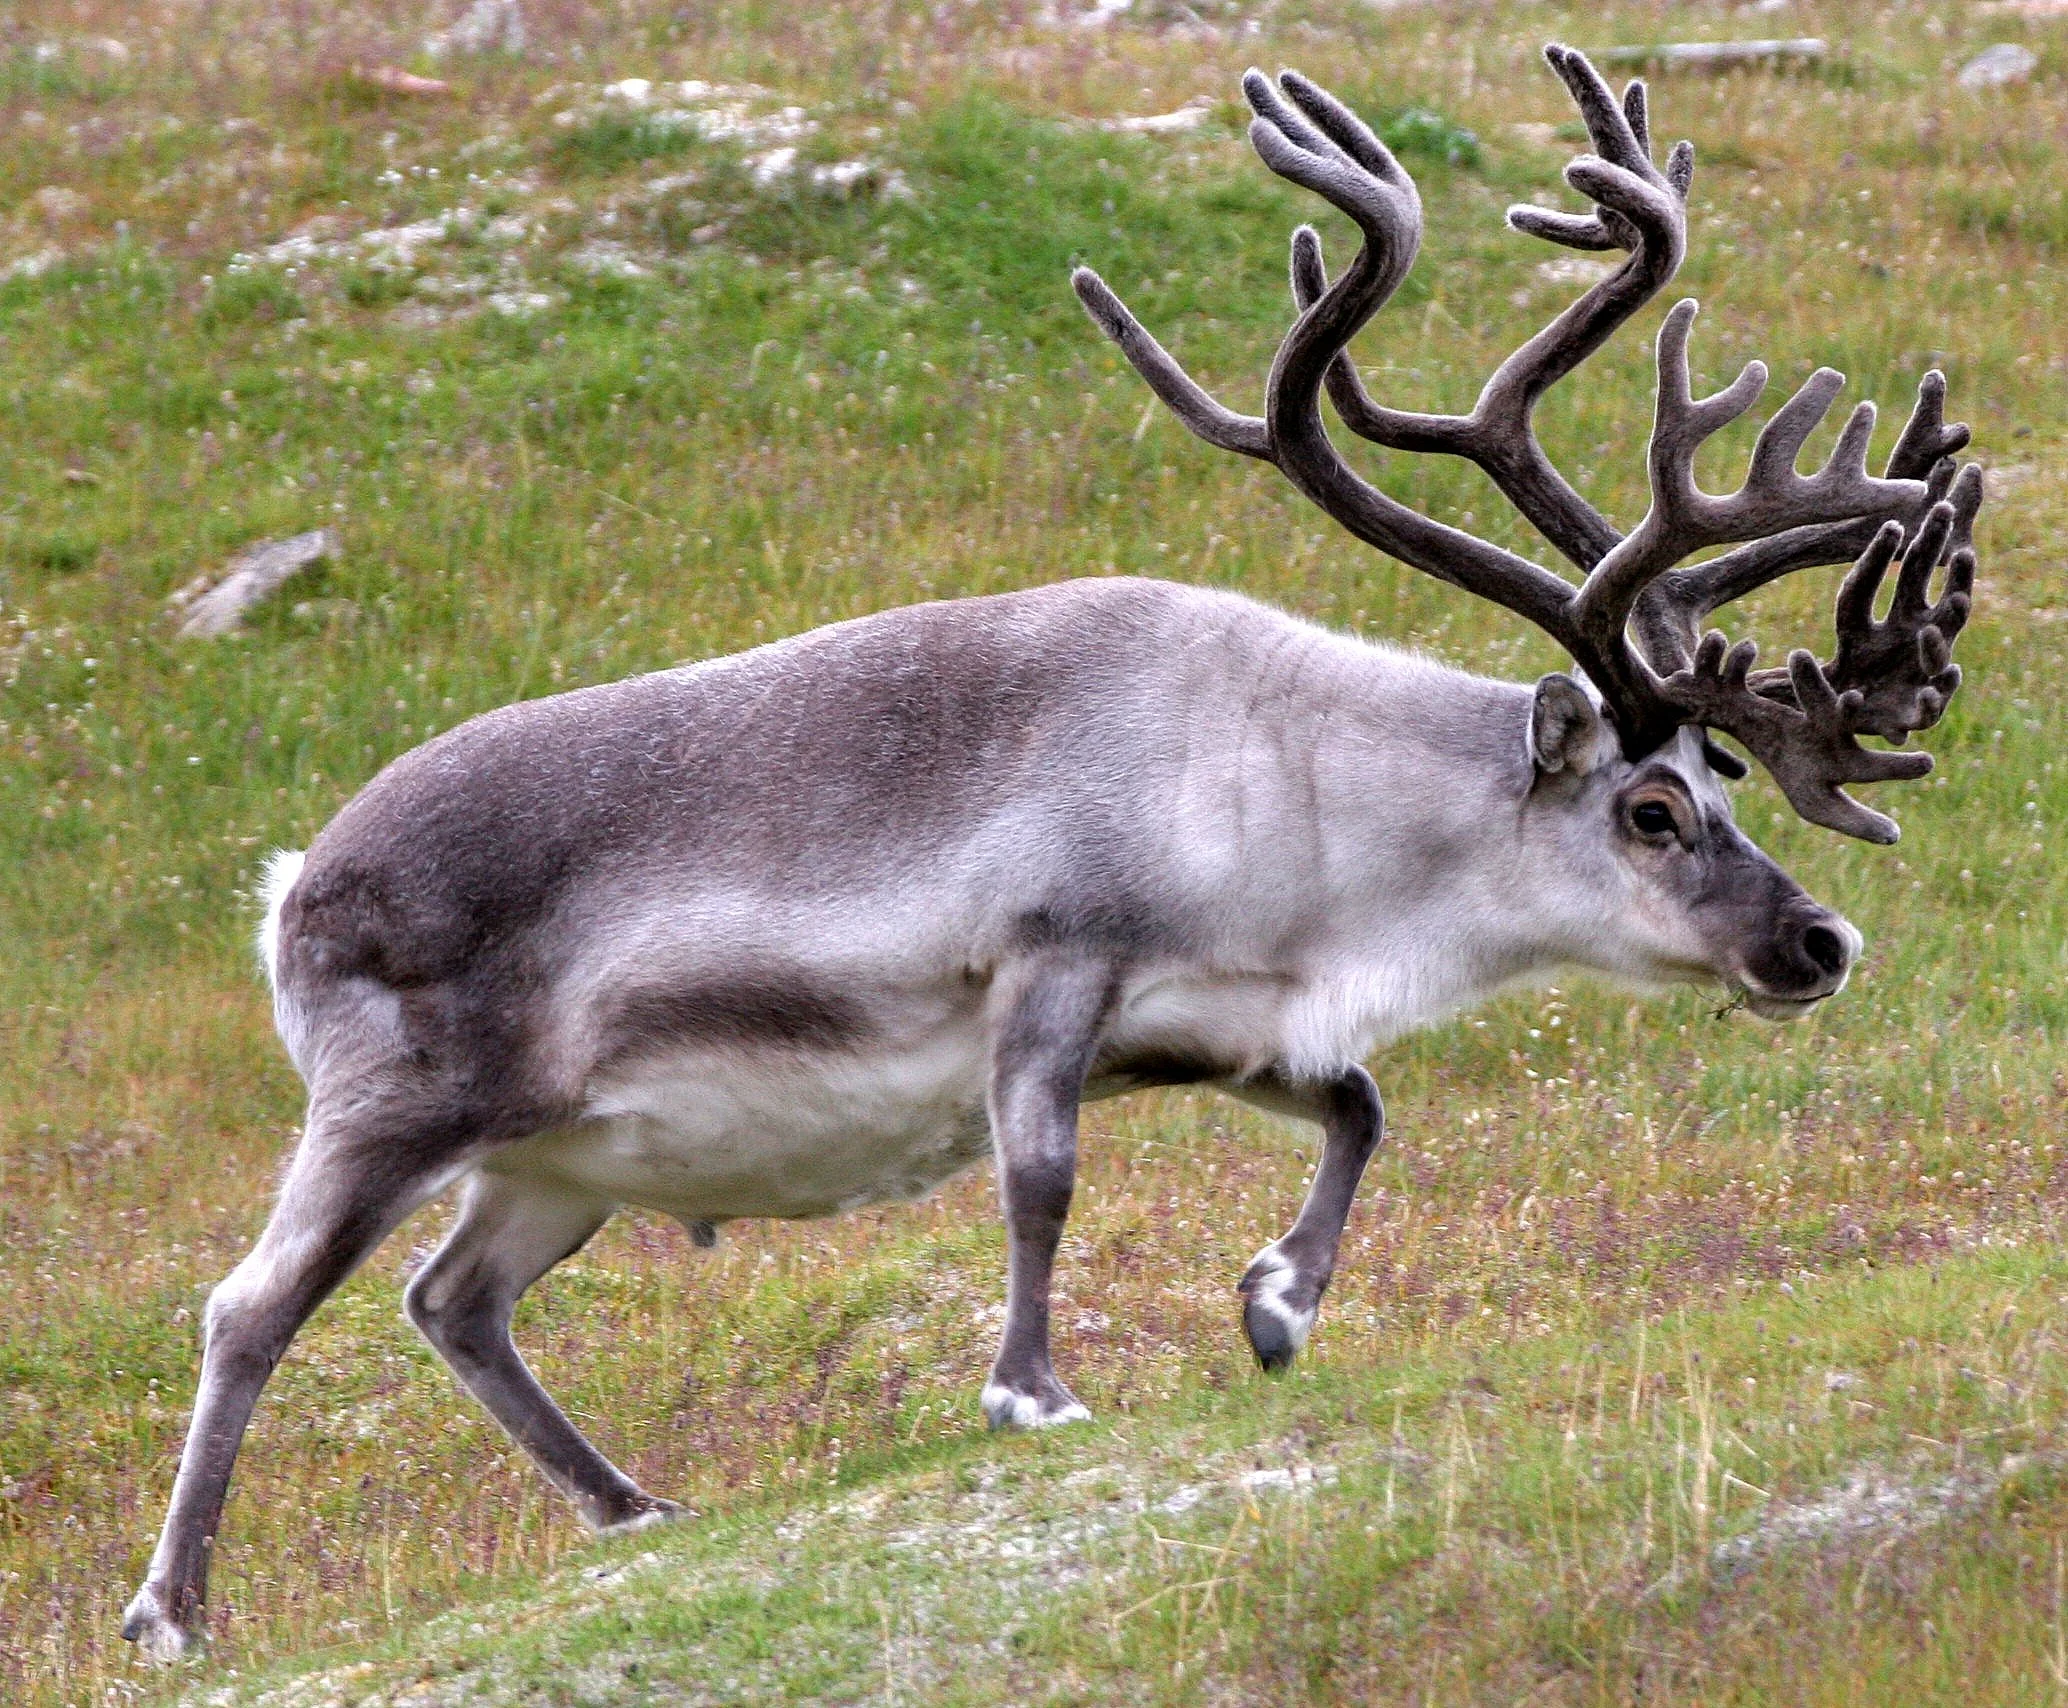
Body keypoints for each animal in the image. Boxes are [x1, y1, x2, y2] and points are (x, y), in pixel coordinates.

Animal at [123, 44, 1982, 1660]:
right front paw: (1032, 1386)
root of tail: (290, 888)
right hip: (392, 1101)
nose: (1818, 942)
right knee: (248, 1305)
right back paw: (172, 1610)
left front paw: (1278, 1303)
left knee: (454, 1301)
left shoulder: (1210, 1020)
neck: (1287, 795)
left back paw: (632, 1504)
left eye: (1726, 773)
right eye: (1650, 809)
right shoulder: (1045, 958)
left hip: (554, 1156)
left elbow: (1361, 1108)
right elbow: (1041, 1178)